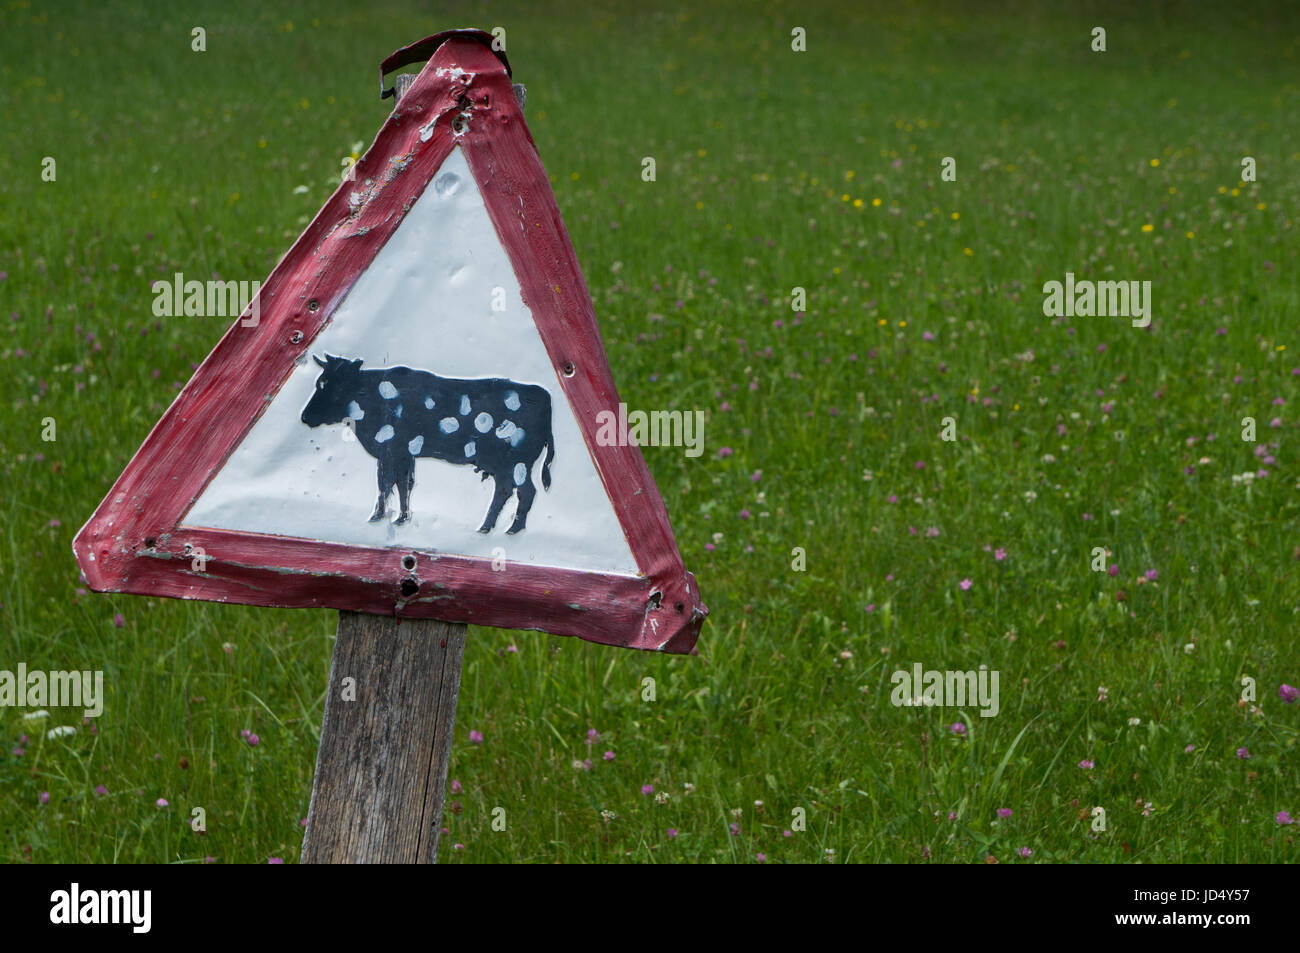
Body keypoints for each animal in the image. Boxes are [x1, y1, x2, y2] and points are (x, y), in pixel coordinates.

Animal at [301, 354, 554, 534]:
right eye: (319, 382)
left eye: (338, 388)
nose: (304, 417)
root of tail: (544, 395)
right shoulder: (399, 454)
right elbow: (400, 485)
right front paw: (396, 518)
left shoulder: (395, 450)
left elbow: (388, 484)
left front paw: (380, 517)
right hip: (503, 465)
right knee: (505, 490)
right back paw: (486, 528)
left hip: (518, 462)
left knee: (526, 492)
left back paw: (512, 530)